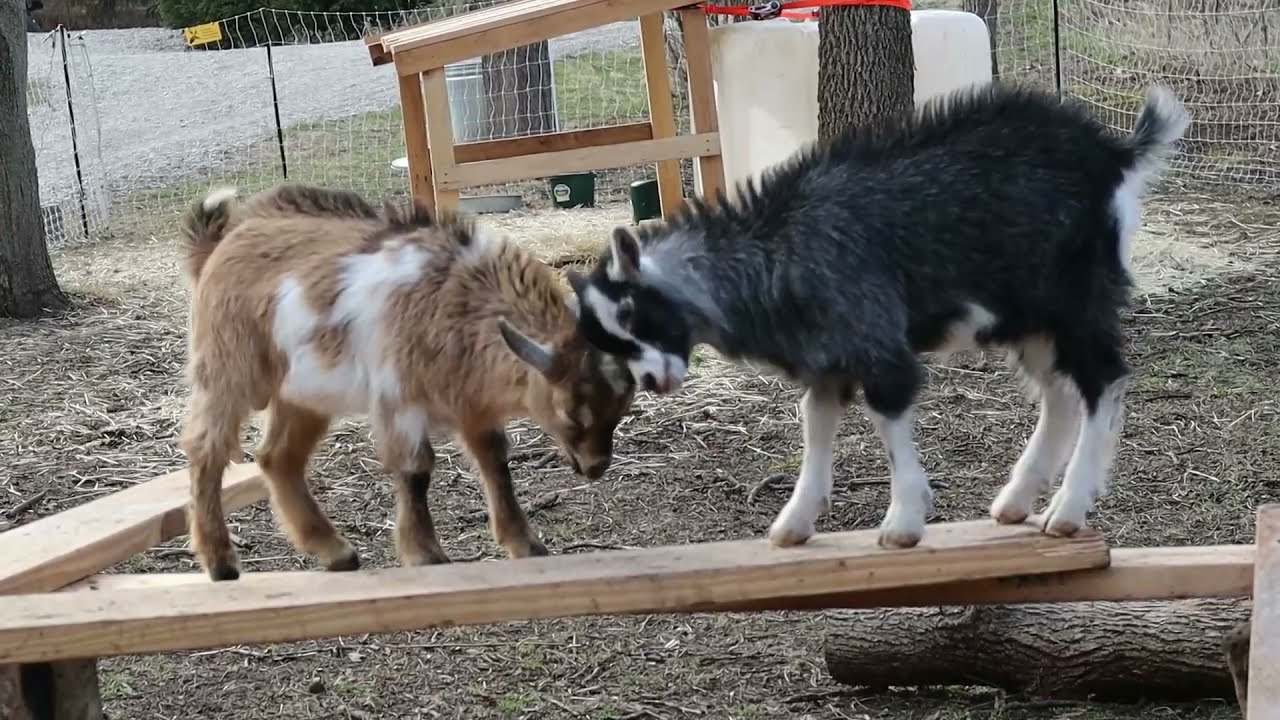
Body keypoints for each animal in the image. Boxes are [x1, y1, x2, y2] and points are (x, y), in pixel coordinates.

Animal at [177, 181, 636, 581]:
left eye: (622, 405)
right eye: (570, 412)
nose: (595, 466)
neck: (451, 294)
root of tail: (218, 245)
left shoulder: (472, 404)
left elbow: (494, 462)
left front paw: (526, 544)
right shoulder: (399, 397)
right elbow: (416, 470)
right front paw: (426, 554)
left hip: (304, 394)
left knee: (277, 457)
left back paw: (335, 552)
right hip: (227, 368)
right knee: (207, 449)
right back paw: (220, 561)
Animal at [563, 82, 1190, 550]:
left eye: (632, 310)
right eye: (607, 342)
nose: (654, 380)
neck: (778, 248)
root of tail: (1114, 155)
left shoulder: (876, 338)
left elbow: (888, 416)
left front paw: (904, 522)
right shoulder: (827, 358)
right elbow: (815, 423)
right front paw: (795, 523)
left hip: (1076, 298)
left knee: (1104, 381)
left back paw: (1068, 508)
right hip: (1028, 317)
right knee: (1060, 394)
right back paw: (1017, 502)